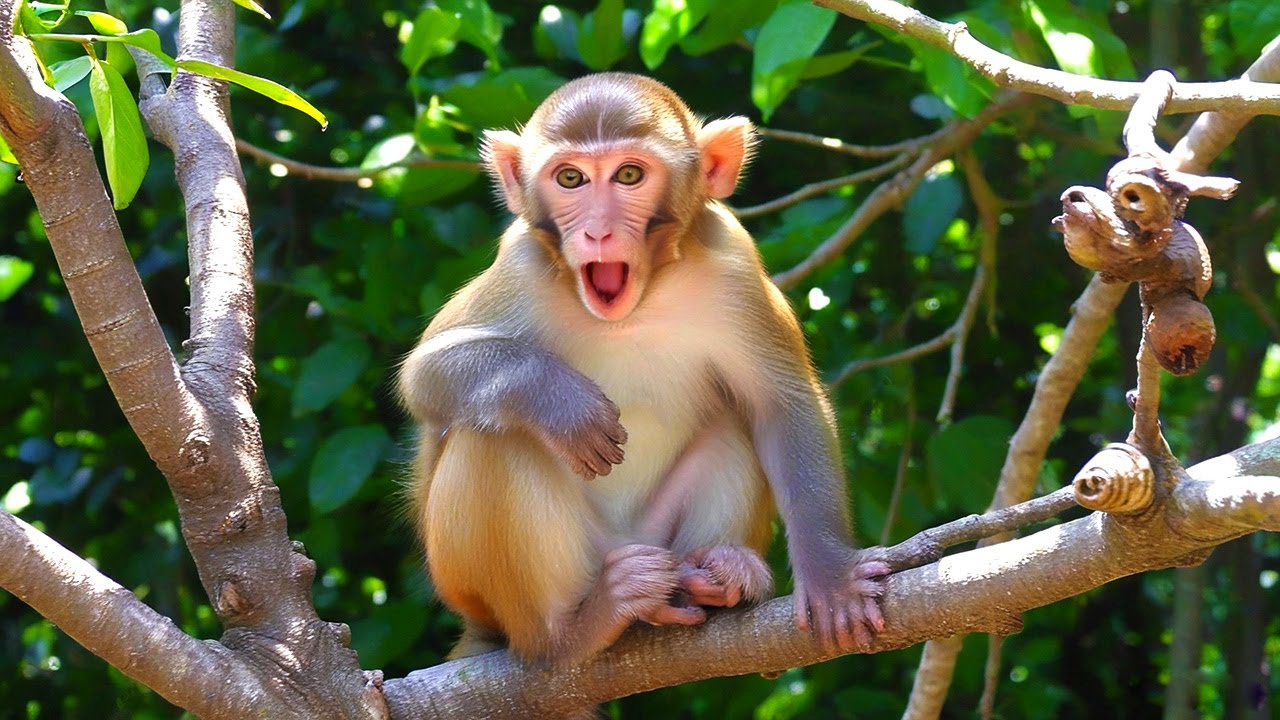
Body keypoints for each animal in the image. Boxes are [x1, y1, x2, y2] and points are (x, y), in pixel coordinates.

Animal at [397, 72, 889, 666]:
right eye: (570, 178)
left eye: (629, 175)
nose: (598, 233)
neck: (637, 306)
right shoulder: (521, 265)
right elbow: (426, 375)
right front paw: (561, 402)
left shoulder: (734, 263)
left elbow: (781, 406)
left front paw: (832, 579)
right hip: (499, 583)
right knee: (492, 436)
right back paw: (575, 628)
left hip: (655, 538)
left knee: (733, 425)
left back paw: (711, 581)